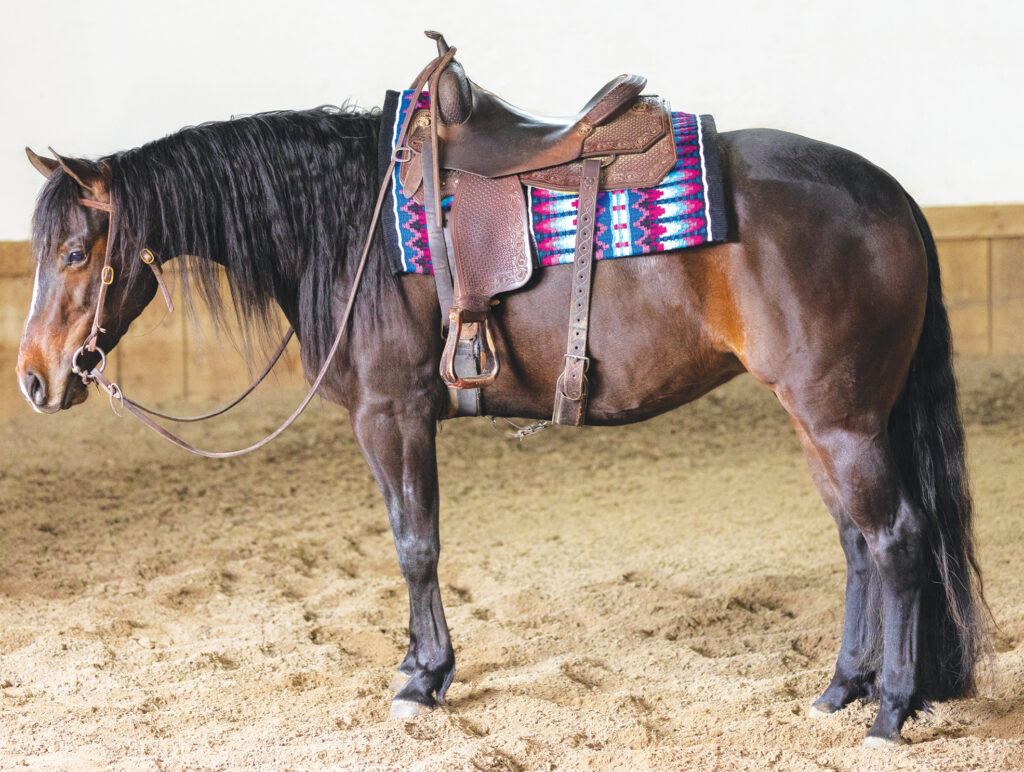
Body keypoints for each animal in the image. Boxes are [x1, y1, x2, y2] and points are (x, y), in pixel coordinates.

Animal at [16, 102, 987, 747]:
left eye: (76, 251)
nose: (33, 380)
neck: (348, 226)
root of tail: (889, 193)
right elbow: (408, 539)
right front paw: (417, 666)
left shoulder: (394, 414)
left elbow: (416, 545)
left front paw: (426, 679)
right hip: (817, 419)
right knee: (857, 545)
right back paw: (841, 690)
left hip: (842, 421)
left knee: (896, 539)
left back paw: (891, 709)